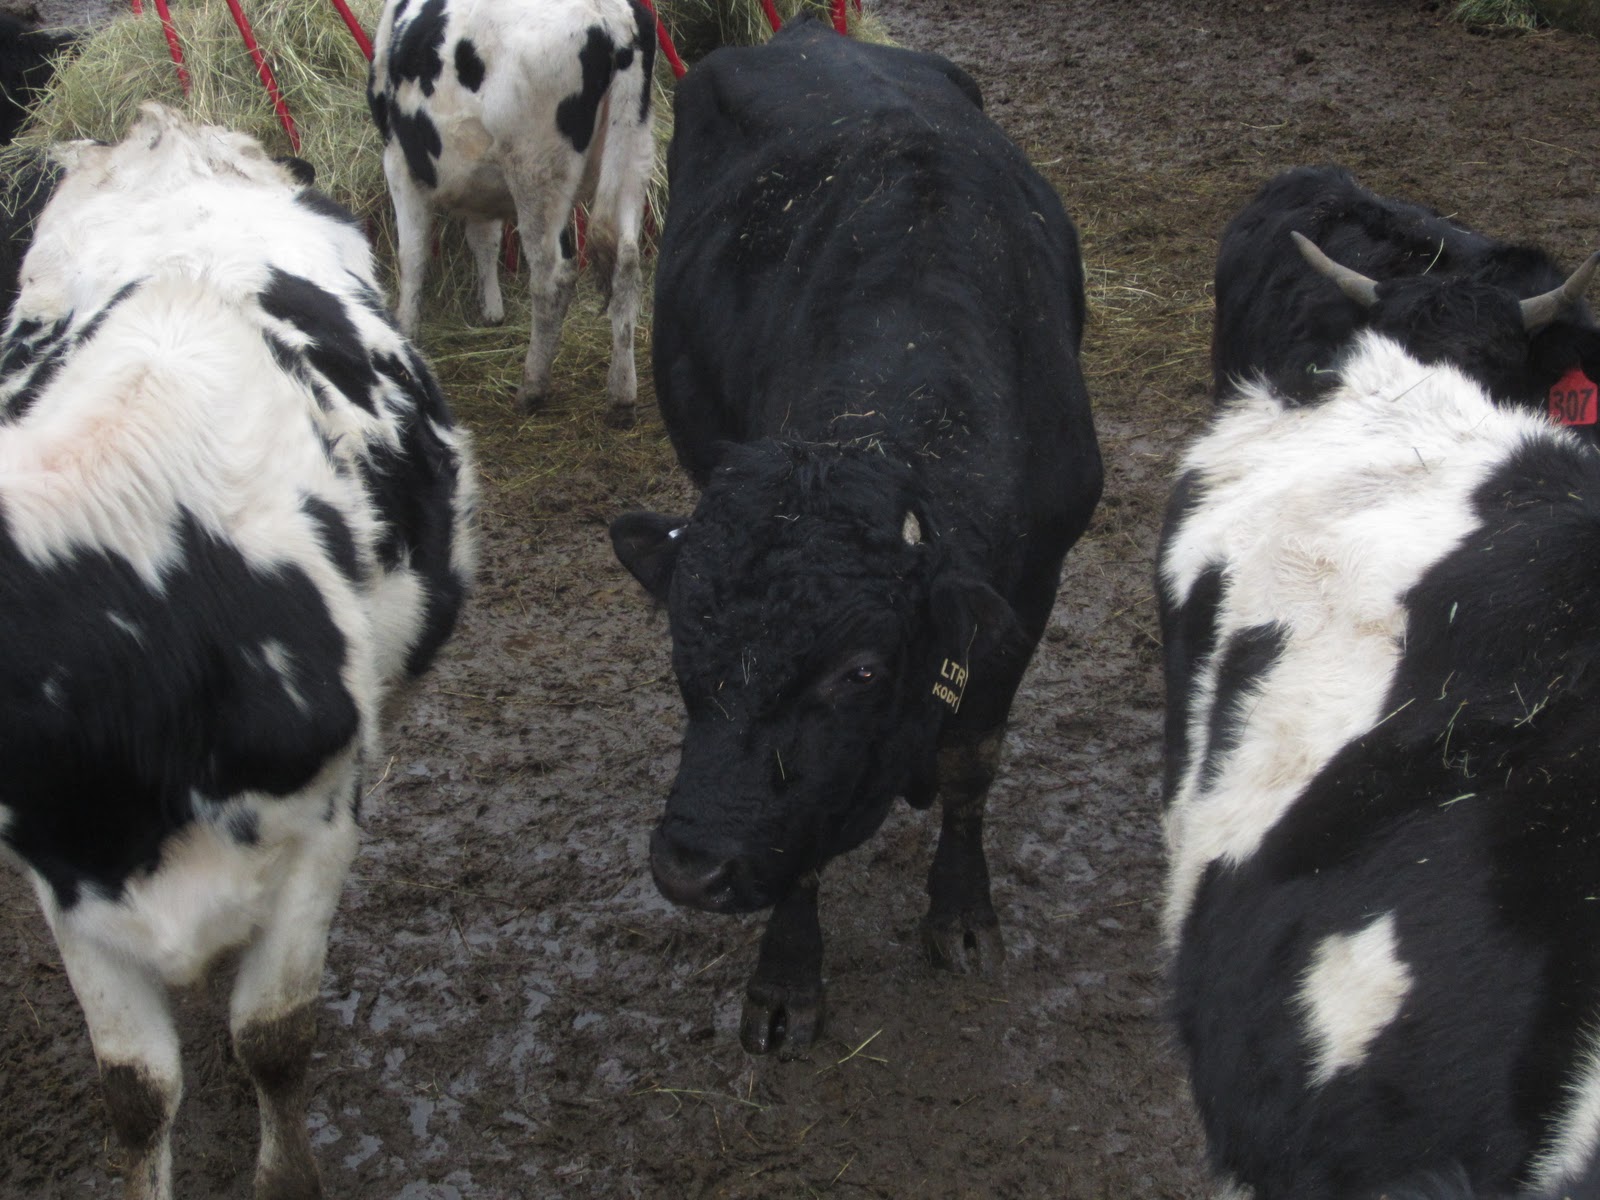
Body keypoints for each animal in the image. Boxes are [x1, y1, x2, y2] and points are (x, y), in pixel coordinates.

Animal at [368, 0, 656, 426]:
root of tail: (610, 14)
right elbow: (483, 240)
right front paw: (492, 310)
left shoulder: (400, 161)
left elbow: (413, 254)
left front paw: (405, 331)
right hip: (632, 153)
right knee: (626, 264)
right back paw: (621, 395)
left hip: (535, 168)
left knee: (553, 276)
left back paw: (532, 388)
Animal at [609, 18, 1103, 1056]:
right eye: (681, 657)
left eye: (861, 670)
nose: (688, 868)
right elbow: (803, 827)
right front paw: (788, 975)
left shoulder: (1031, 587)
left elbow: (969, 762)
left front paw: (962, 913)